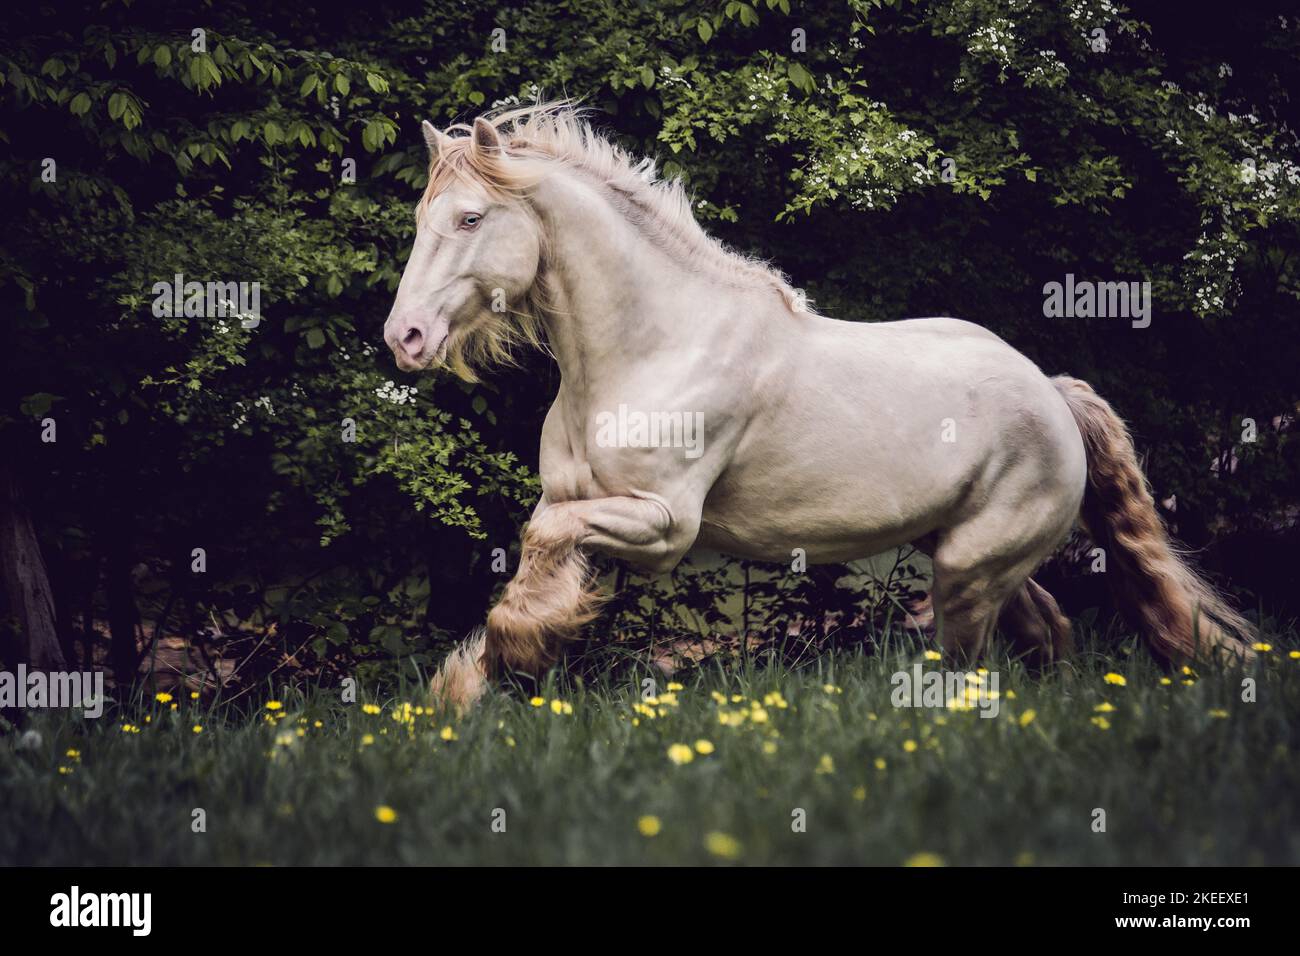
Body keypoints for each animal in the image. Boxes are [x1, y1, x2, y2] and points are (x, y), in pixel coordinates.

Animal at [382, 103, 1253, 711]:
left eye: (471, 217)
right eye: (421, 219)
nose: (405, 336)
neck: (654, 346)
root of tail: (1055, 394)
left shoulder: (663, 525)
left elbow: (537, 552)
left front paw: (510, 657)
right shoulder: (581, 504)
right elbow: (538, 554)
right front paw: (465, 691)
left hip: (969, 572)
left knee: (973, 663)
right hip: (971, 554)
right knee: (1046, 630)